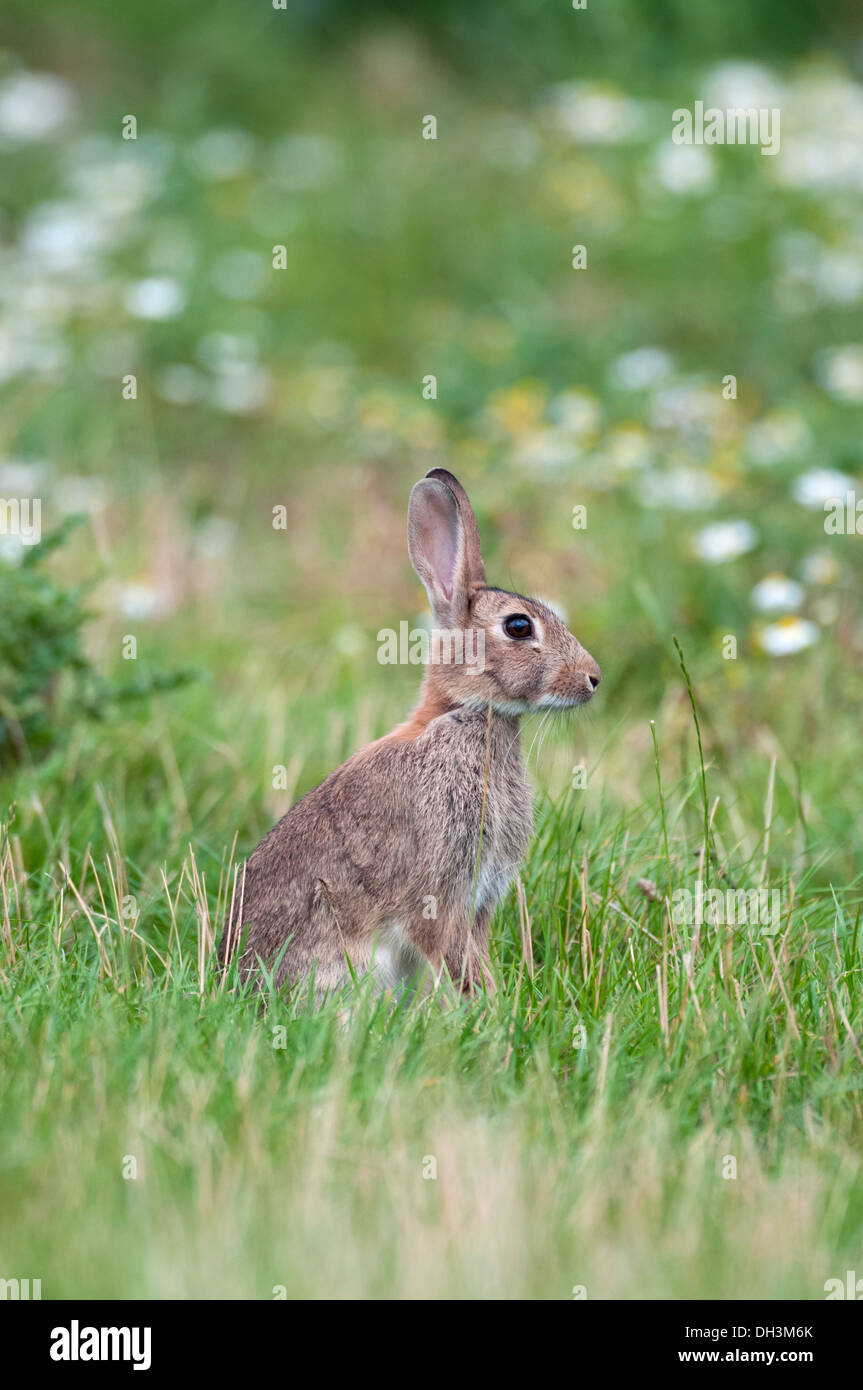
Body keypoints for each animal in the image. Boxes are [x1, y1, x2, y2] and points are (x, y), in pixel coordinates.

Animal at [218, 468, 600, 997]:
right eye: (519, 627)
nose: (593, 678)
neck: (465, 713)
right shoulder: (439, 893)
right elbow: (451, 953)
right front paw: (488, 1006)